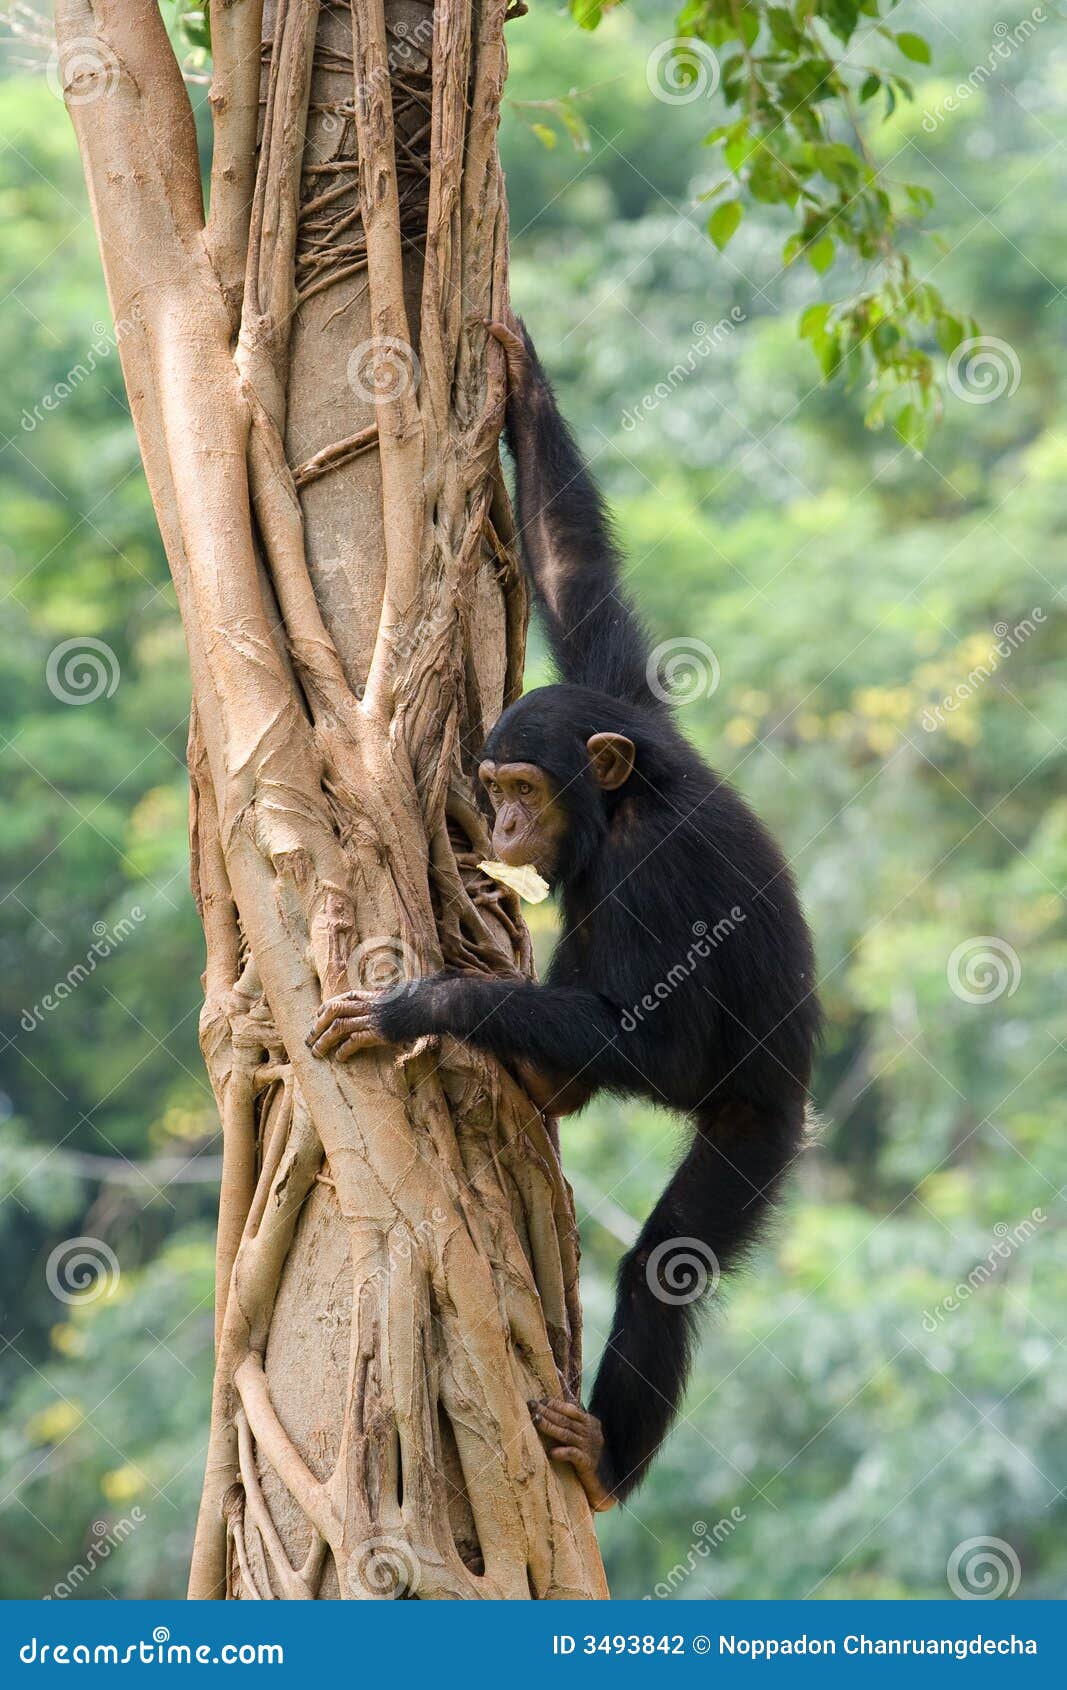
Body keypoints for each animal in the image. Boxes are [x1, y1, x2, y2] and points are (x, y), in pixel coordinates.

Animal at [309, 315, 820, 1513]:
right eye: (492, 781)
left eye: (523, 789)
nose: (497, 821)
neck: (617, 802)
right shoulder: (625, 694)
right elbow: (571, 568)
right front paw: (517, 375)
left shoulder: (654, 873)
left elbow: (661, 1042)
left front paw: (420, 1004)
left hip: (757, 1129)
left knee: (666, 1264)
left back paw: (603, 1454)